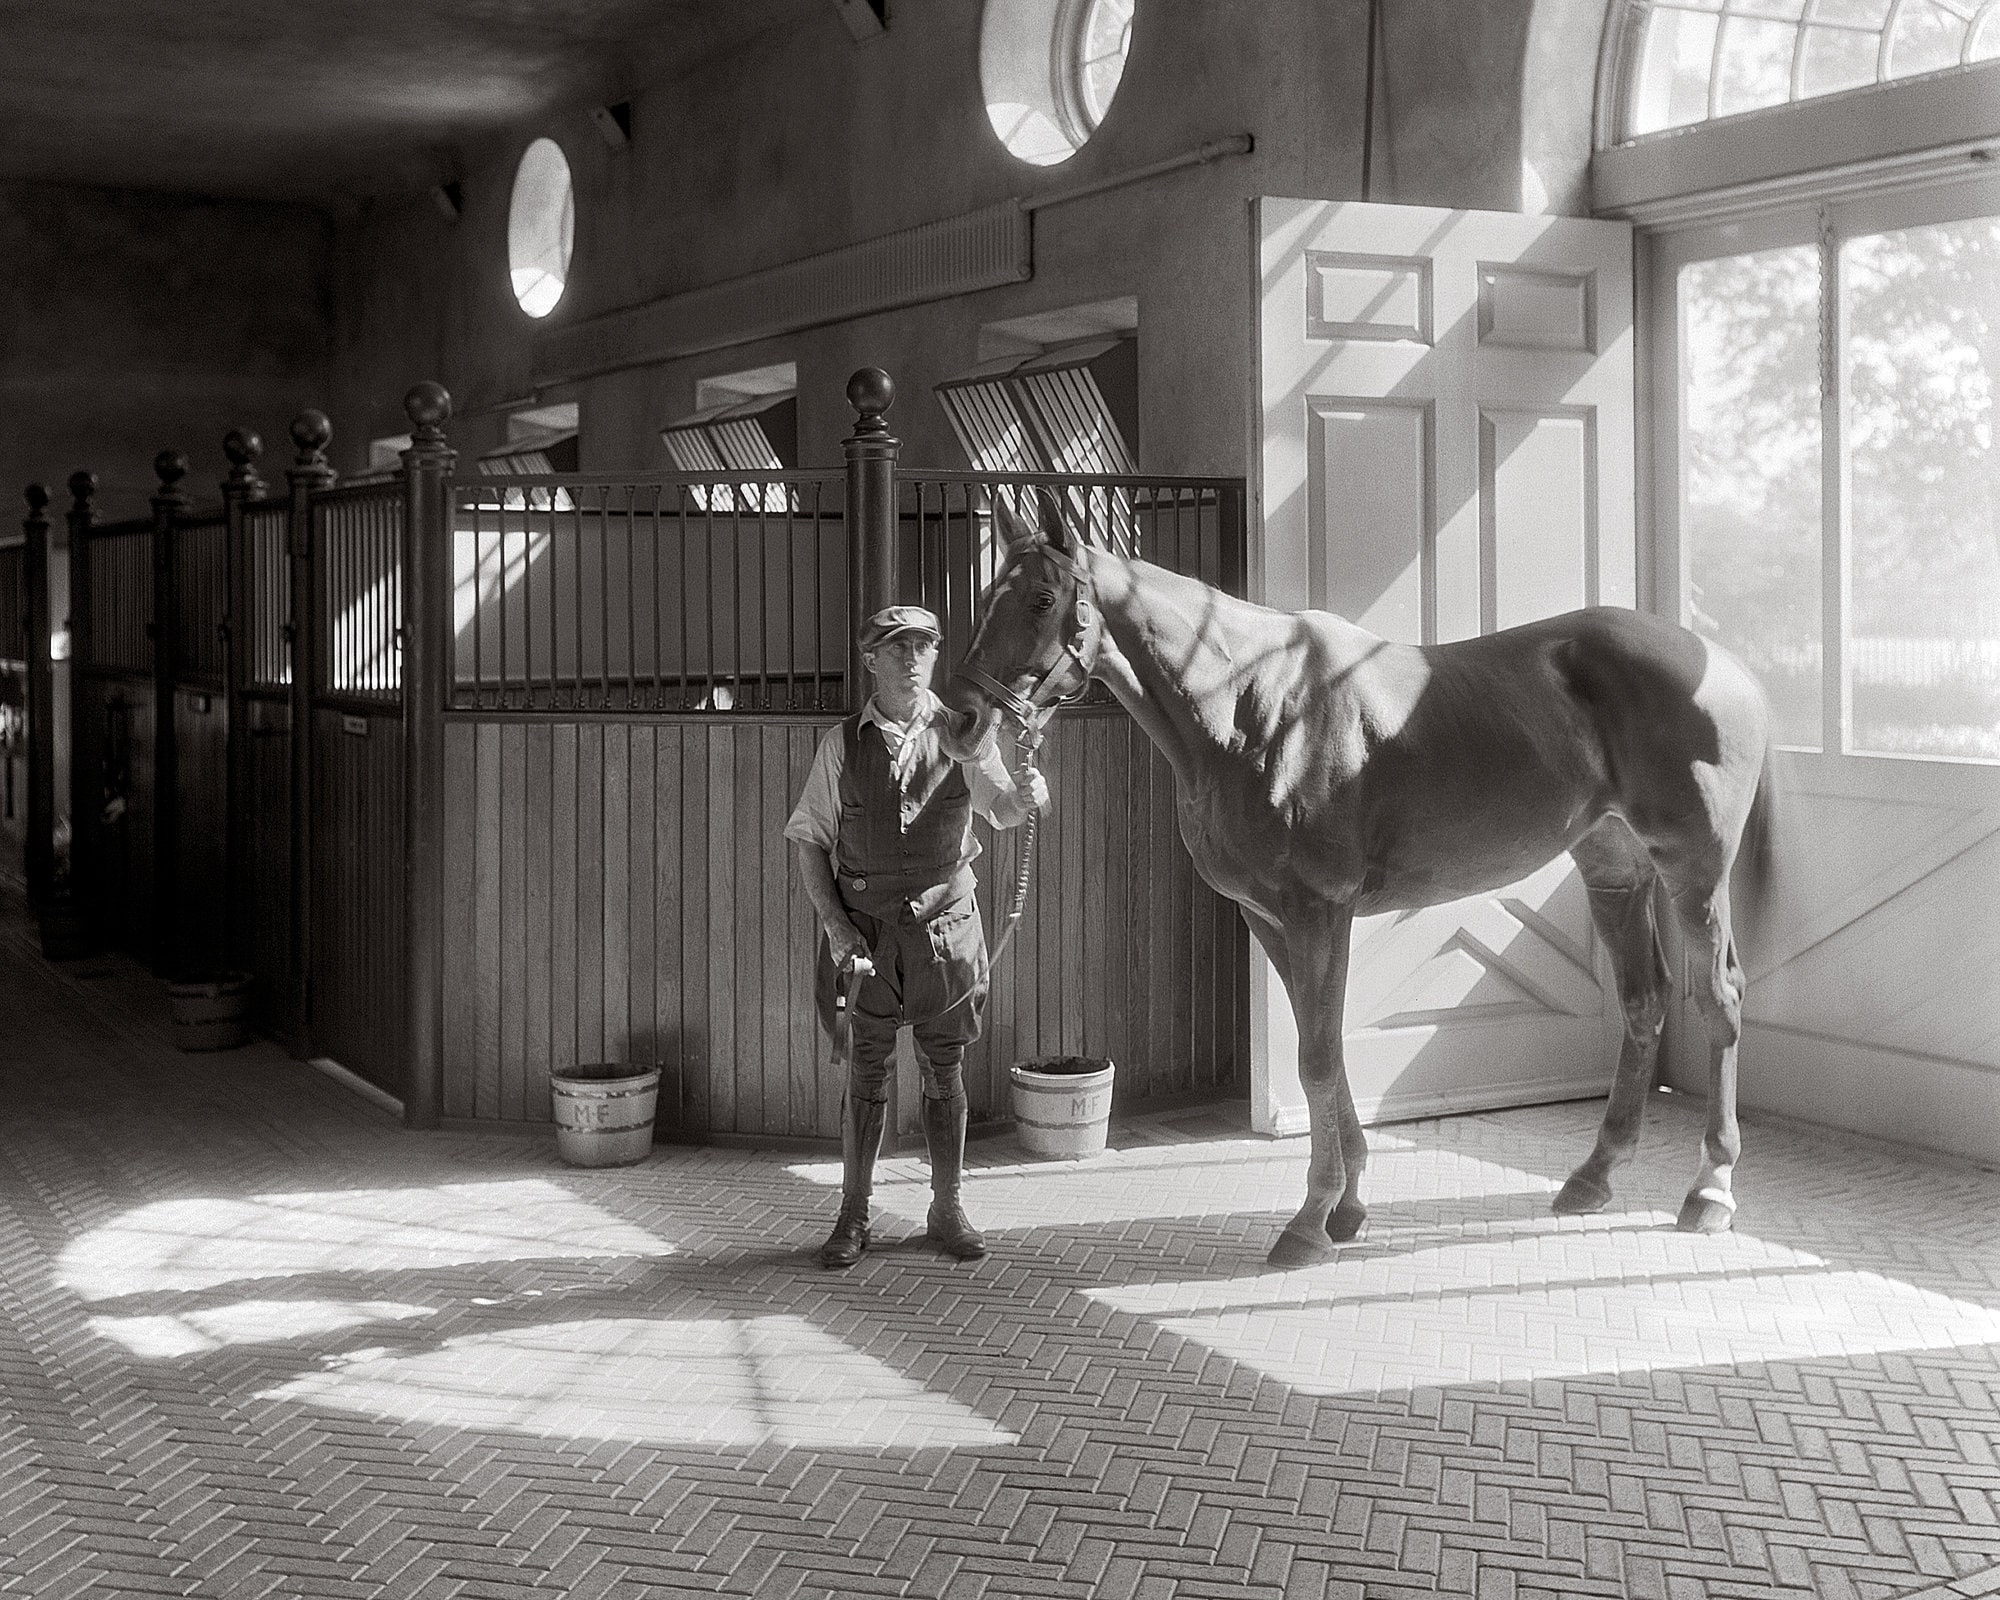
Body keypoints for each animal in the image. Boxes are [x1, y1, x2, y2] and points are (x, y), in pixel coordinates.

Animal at [940, 513, 1773, 1268]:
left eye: (1042, 598)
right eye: (987, 594)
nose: (962, 720)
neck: (1251, 707)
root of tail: (1724, 665)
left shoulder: (1319, 908)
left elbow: (1314, 1058)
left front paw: (1309, 1223)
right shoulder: (1269, 917)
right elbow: (1326, 1050)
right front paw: (1347, 1208)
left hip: (1693, 869)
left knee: (1719, 997)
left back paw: (1710, 1191)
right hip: (1614, 869)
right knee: (1643, 1000)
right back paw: (1593, 1178)